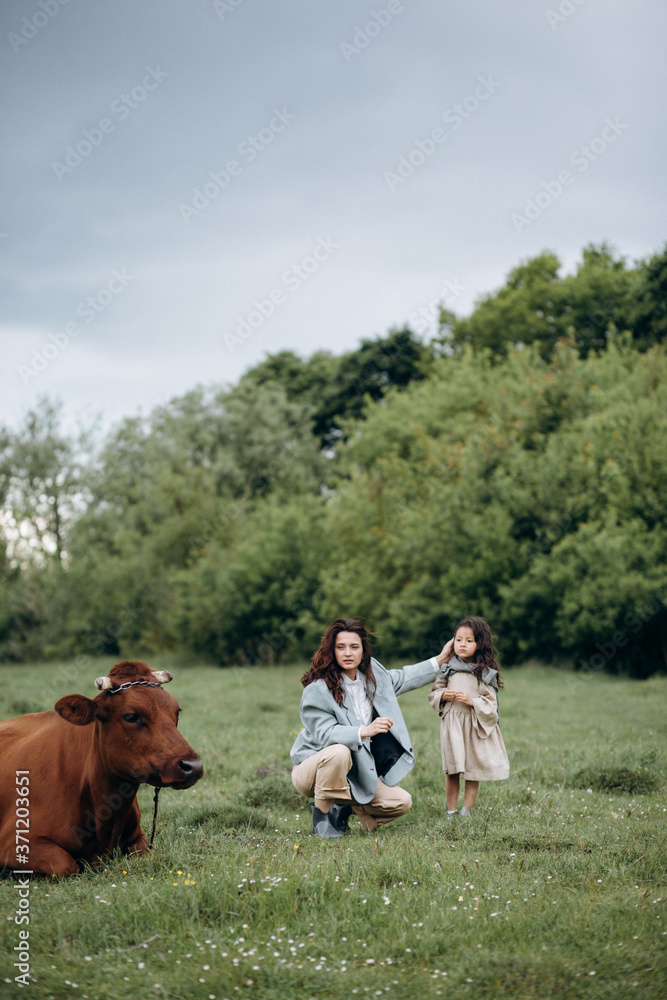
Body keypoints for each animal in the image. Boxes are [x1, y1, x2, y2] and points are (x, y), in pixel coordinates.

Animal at [0, 660, 203, 876]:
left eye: (177, 711)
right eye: (131, 716)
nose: (193, 765)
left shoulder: (138, 837)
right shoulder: (14, 840)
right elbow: (66, 864)